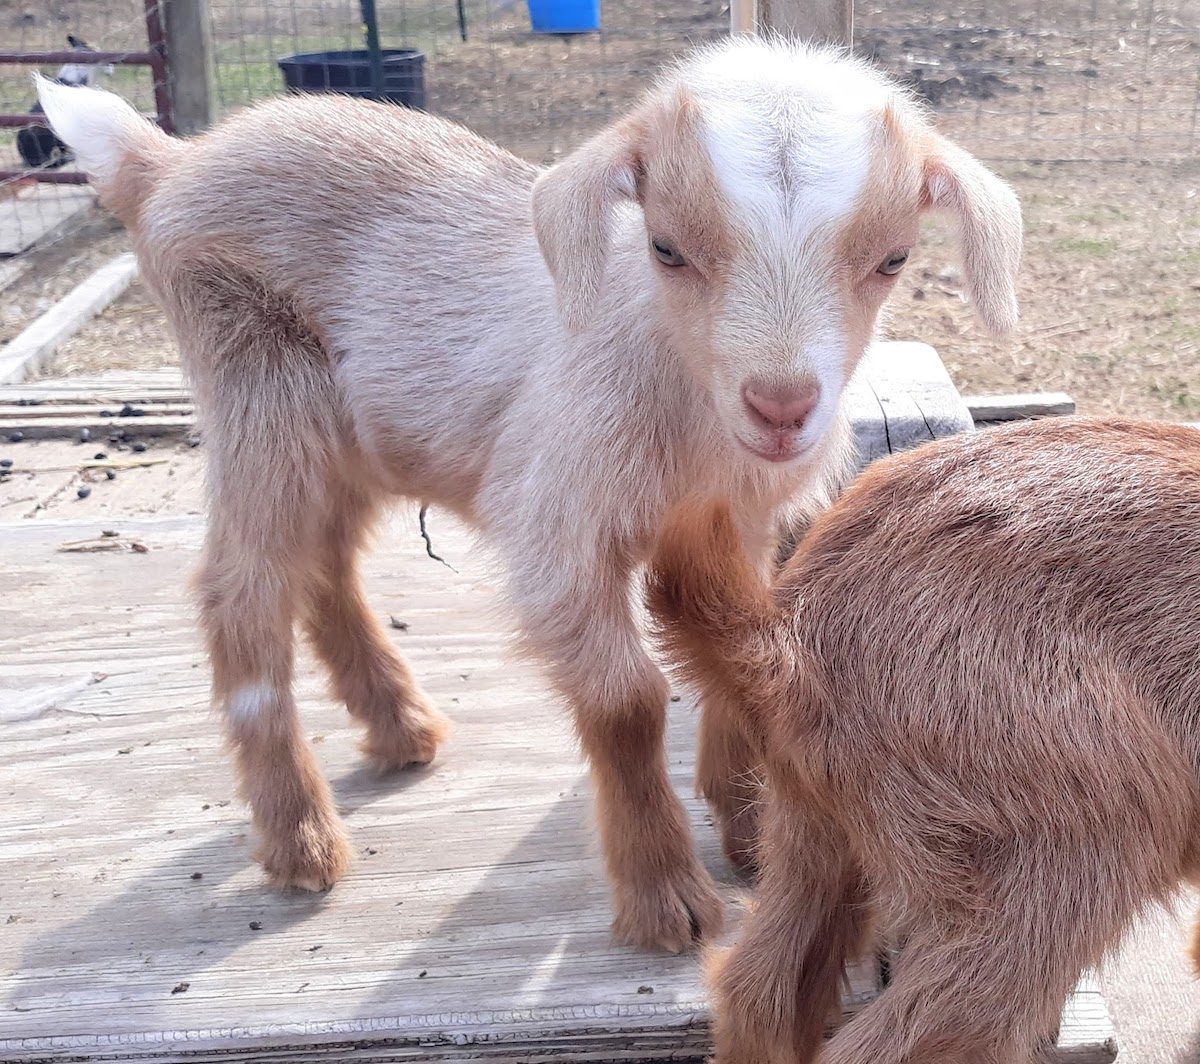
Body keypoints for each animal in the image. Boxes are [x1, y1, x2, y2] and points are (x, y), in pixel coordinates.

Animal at [34, 37, 1021, 953]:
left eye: (893, 258)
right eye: (666, 247)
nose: (780, 408)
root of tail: (167, 163)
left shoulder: (738, 523)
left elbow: (731, 651)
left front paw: (747, 831)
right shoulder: (558, 518)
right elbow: (627, 701)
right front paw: (668, 903)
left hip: (350, 438)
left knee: (324, 565)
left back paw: (400, 726)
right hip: (257, 391)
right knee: (241, 594)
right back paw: (300, 840)